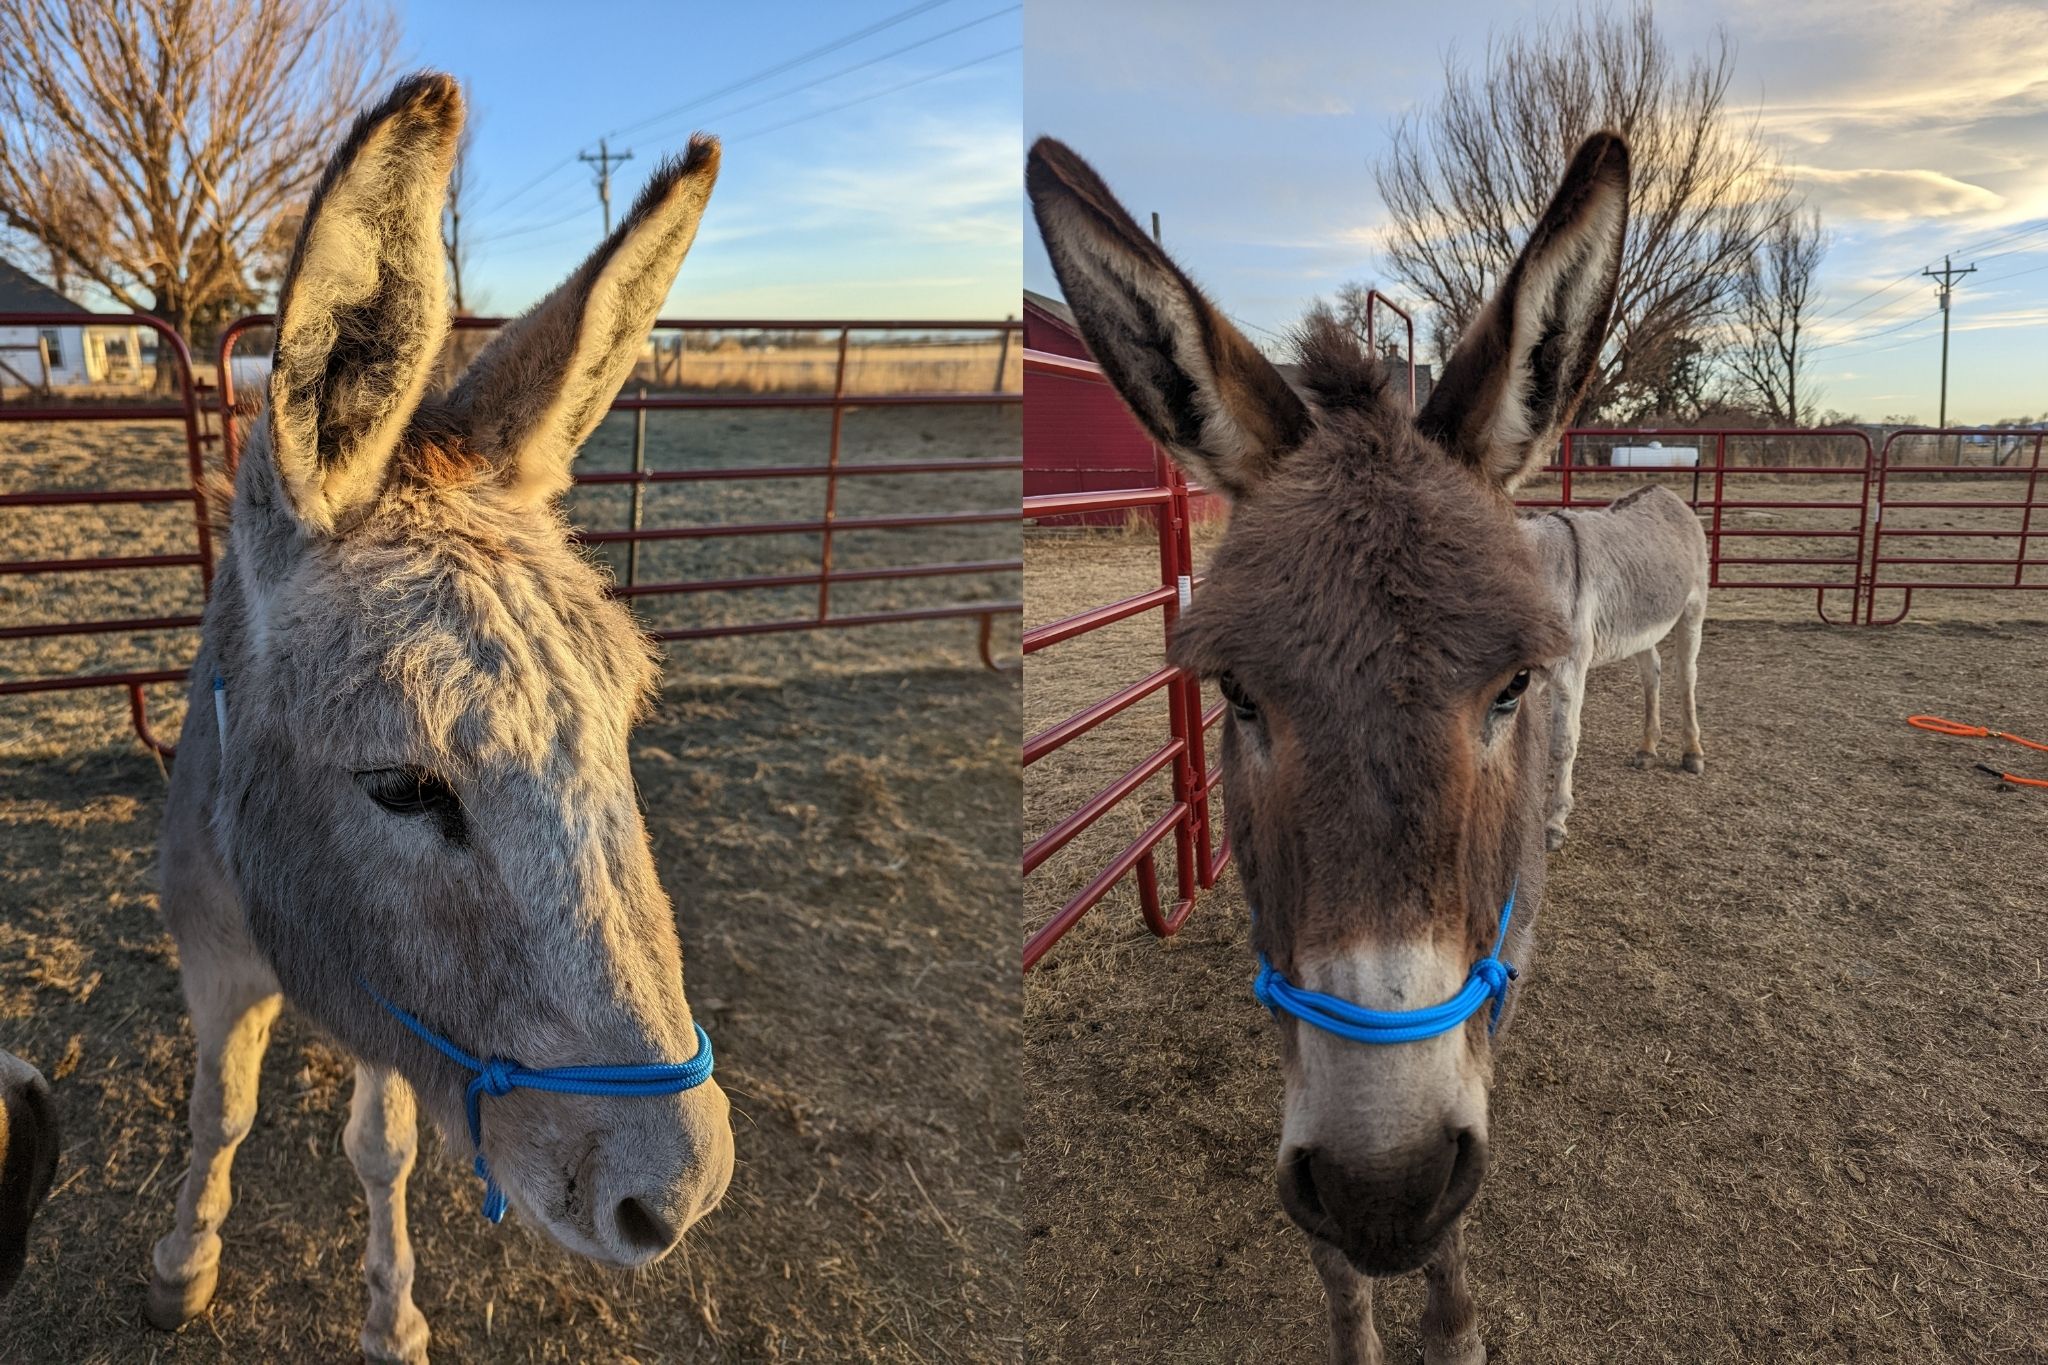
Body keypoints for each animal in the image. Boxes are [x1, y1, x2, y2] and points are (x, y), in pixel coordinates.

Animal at [148, 73, 731, 1363]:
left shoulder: (381, 1001)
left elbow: (382, 1149)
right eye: (403, 786)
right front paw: (184, 1255)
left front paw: (391, 1318)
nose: (673, 1194)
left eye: (618, 733)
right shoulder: (215, 943)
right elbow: (221, 1108)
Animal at [1029, 130, 1631, 1364]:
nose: (1382, 1192)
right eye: (1238, 695)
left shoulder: (1489, 971)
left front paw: (1452, 1325)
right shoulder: (1285, 979)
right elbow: (1329, 1259)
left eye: (1511, 687)